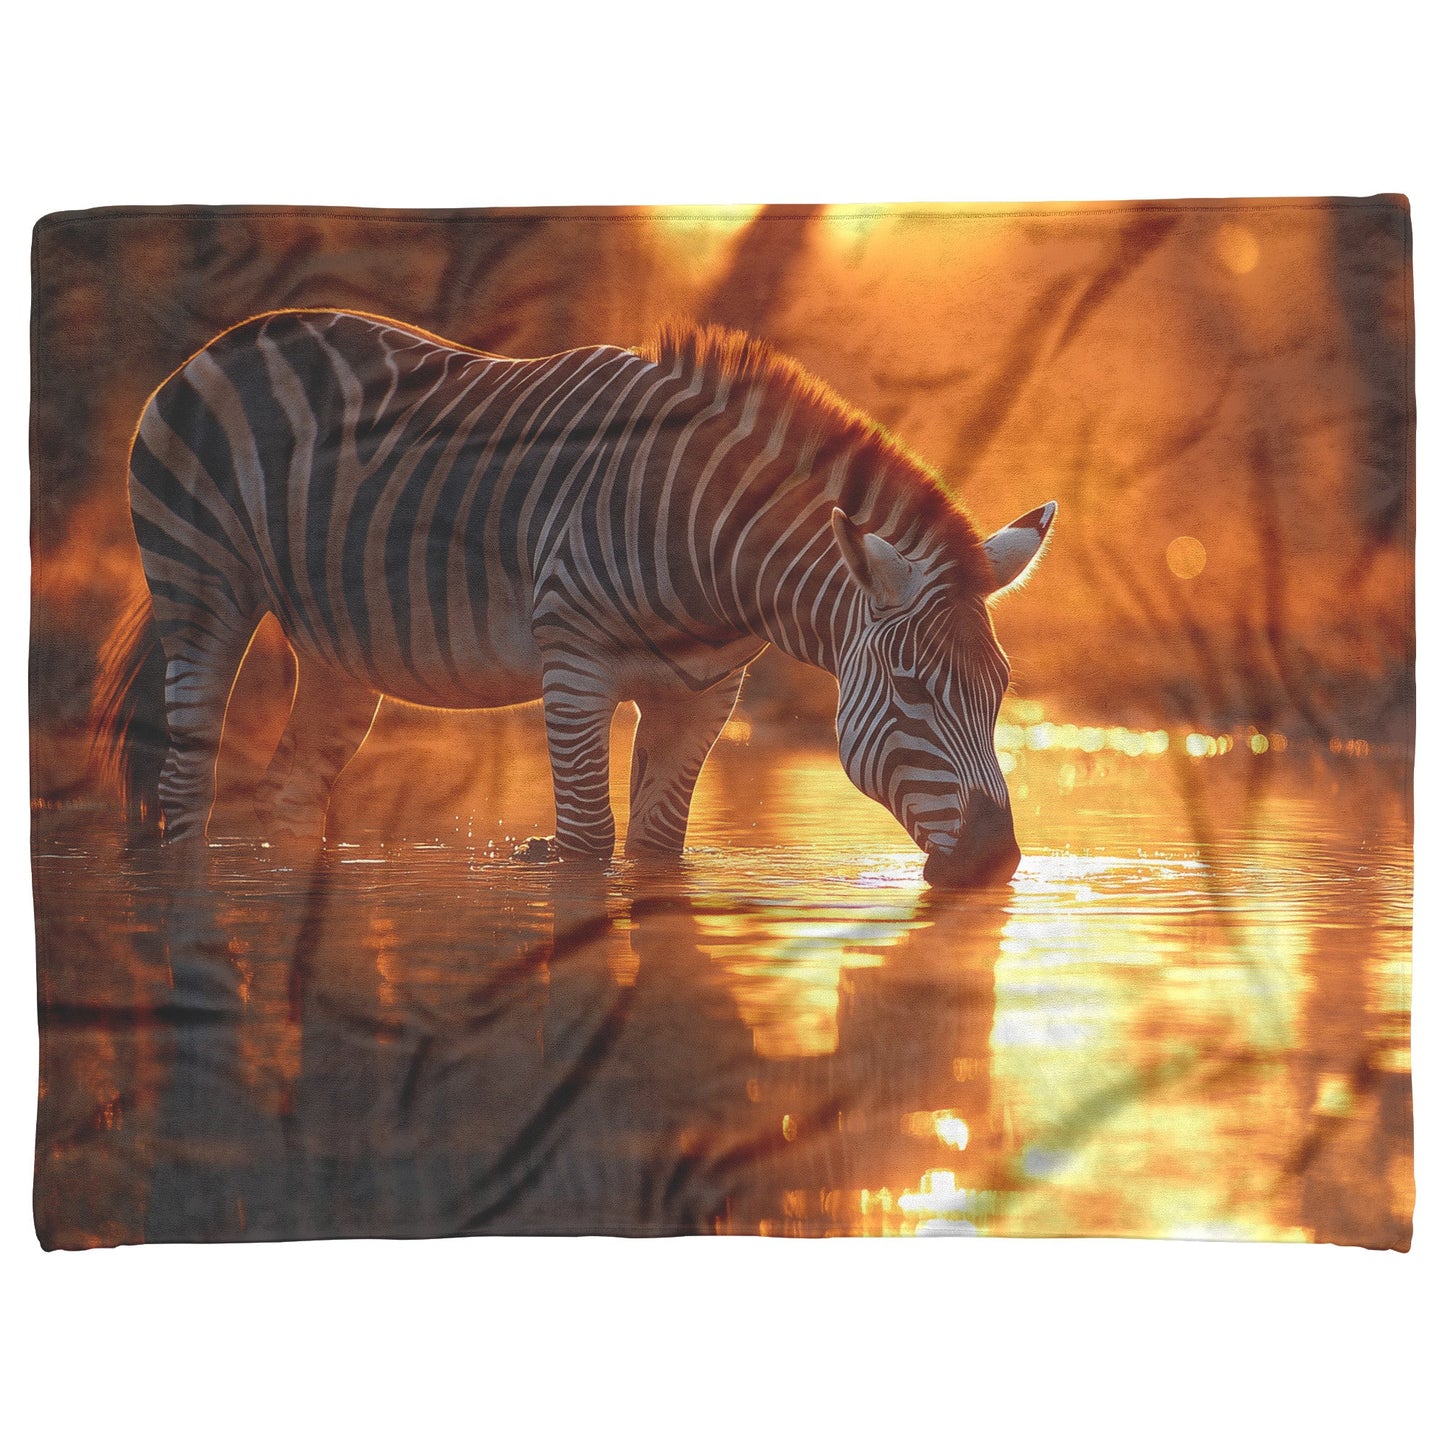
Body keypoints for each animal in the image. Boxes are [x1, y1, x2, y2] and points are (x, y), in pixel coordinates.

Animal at [92, 309, 1055, 887]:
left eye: (1001, 692)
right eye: (912, 689)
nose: (993, 861)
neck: (711, 552)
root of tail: (233, 334)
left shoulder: (705, 693)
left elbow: (657, 850)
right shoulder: (574, 670)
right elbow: (588, 847)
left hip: (335, 644)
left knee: (289, 795)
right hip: (202, 585)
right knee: (184, 781)